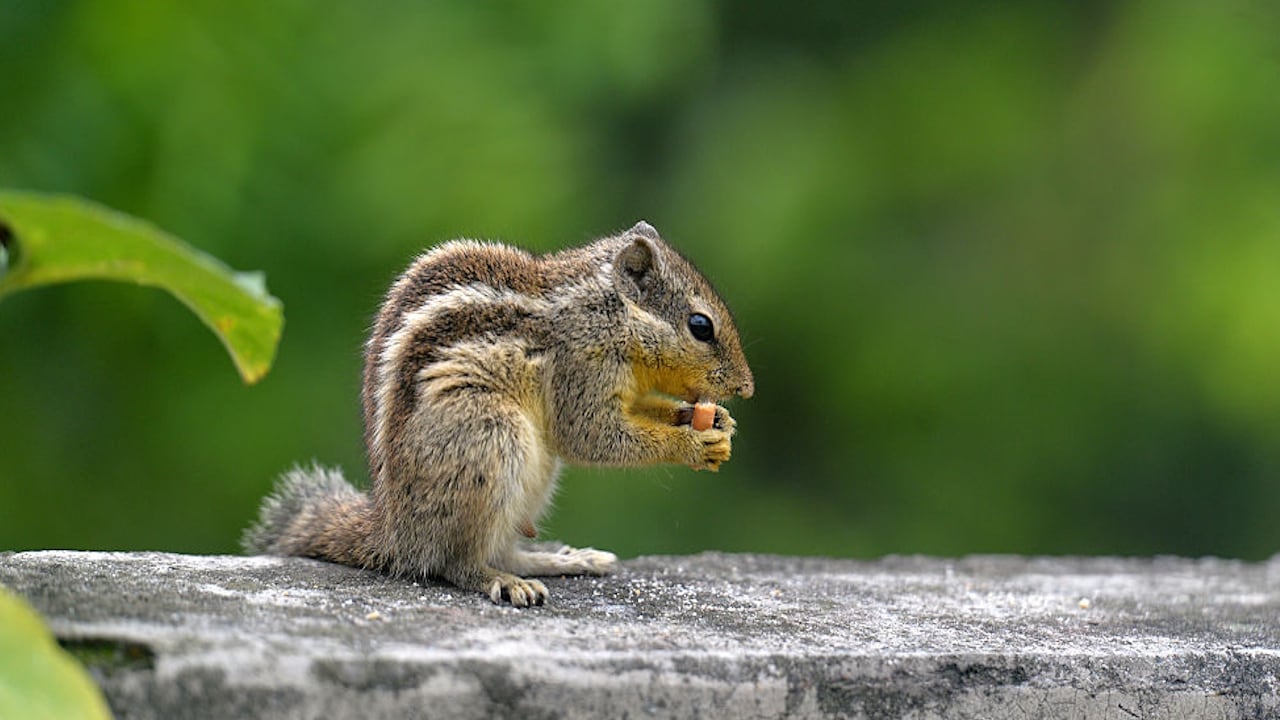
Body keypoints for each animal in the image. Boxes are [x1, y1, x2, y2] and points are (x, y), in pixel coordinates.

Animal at [243, 221, 754, 606]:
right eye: (700, 326)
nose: (746, 388)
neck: (610, 310)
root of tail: (393, 532)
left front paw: (714, 423)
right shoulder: (581, 368)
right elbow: (591, 435)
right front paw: (691, 442)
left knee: (504, 549)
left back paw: (561, 560)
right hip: (491, 437)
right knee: (455, 562)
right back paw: (503, 582)